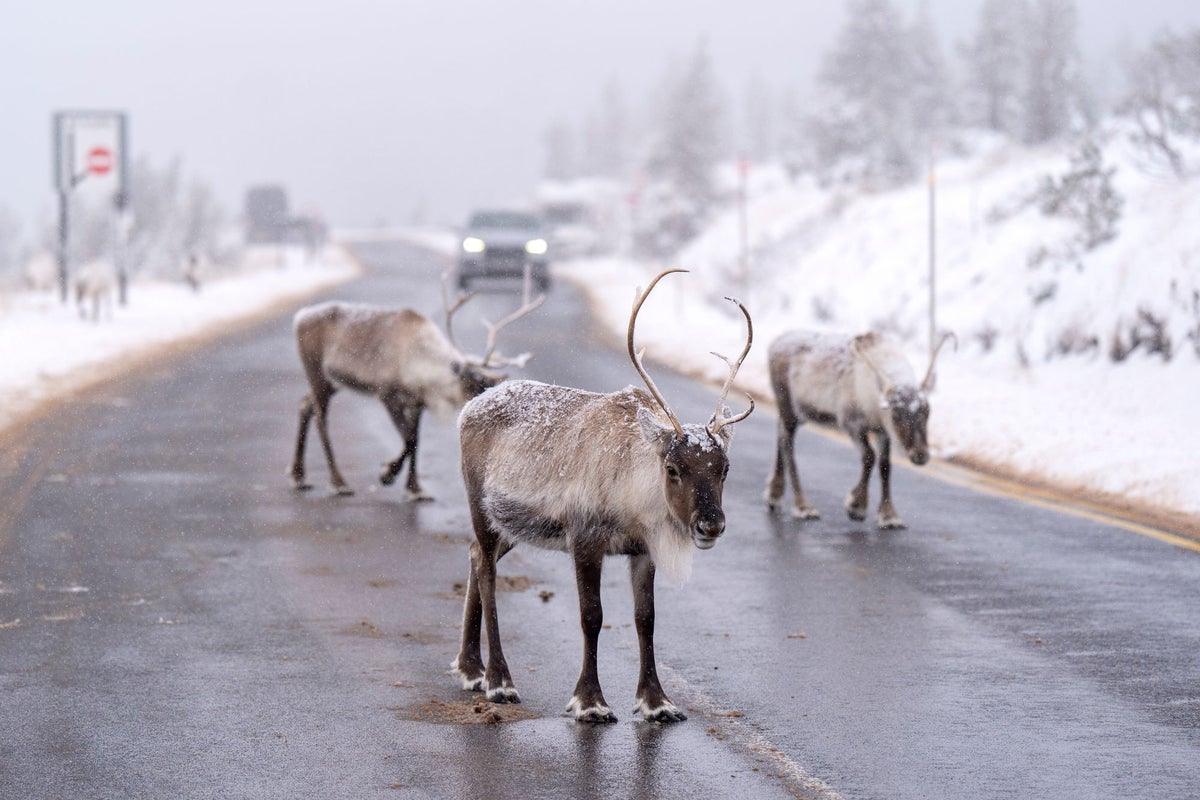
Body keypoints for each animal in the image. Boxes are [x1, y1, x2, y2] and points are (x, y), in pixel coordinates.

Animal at [288, 275, 543, 498]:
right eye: (475, 384)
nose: (485, 408)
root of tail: (300, 317)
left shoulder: (417, 402)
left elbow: (415, 440)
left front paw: (414, 489)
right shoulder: (387, 394)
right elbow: (409, 439)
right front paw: (387, 474)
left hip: (333, 383)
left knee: (304, 405)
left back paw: (299, 476)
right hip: (316, 374)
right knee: (321, 419)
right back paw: (339, 483)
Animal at [450, 268, 754, 724]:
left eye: (724, 468)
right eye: (673, 468)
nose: (711, 524)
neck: (635, 500)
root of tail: (470, 406)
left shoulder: (642, 550)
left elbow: (646, 618)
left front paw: (656, 703)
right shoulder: (585, 539)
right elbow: (591, 616)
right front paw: (590, 702)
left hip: (512, 525)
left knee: (471, 555)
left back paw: (470, 670)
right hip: (481, 509)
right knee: (486, 571)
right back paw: (499, 681)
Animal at [764, 329, 956, 529]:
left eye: (927, 412)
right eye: (895, 414)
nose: (920, 455)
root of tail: (774, 344)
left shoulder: (882, 432)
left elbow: (885, 465)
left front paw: (889, 516)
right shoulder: (852, 424)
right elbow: (870, 456)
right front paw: (856, 506)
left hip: (797, 414)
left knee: (780, 436)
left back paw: (774, 496)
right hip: (788, 406)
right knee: (788, 447)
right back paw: (803, 507)